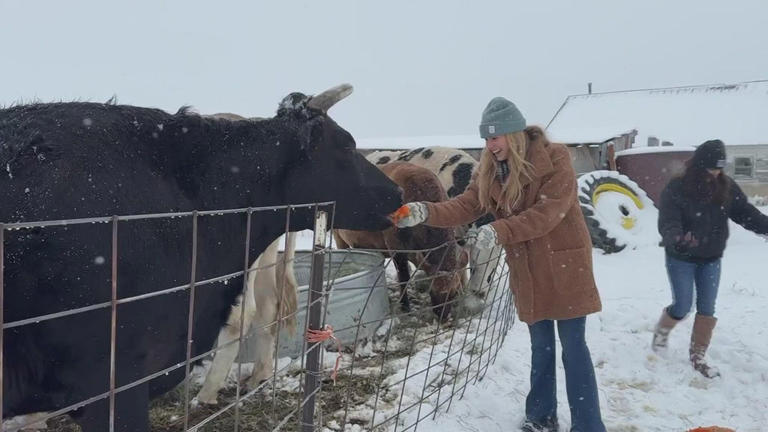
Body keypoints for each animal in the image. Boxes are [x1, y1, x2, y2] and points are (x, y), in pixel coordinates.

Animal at [334, 162, 467, 320]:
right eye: (432, 290)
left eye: (454, 292)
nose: (443, 316)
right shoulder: (396, 249)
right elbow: (404, 278)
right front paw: (405, 307)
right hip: (338, 235)